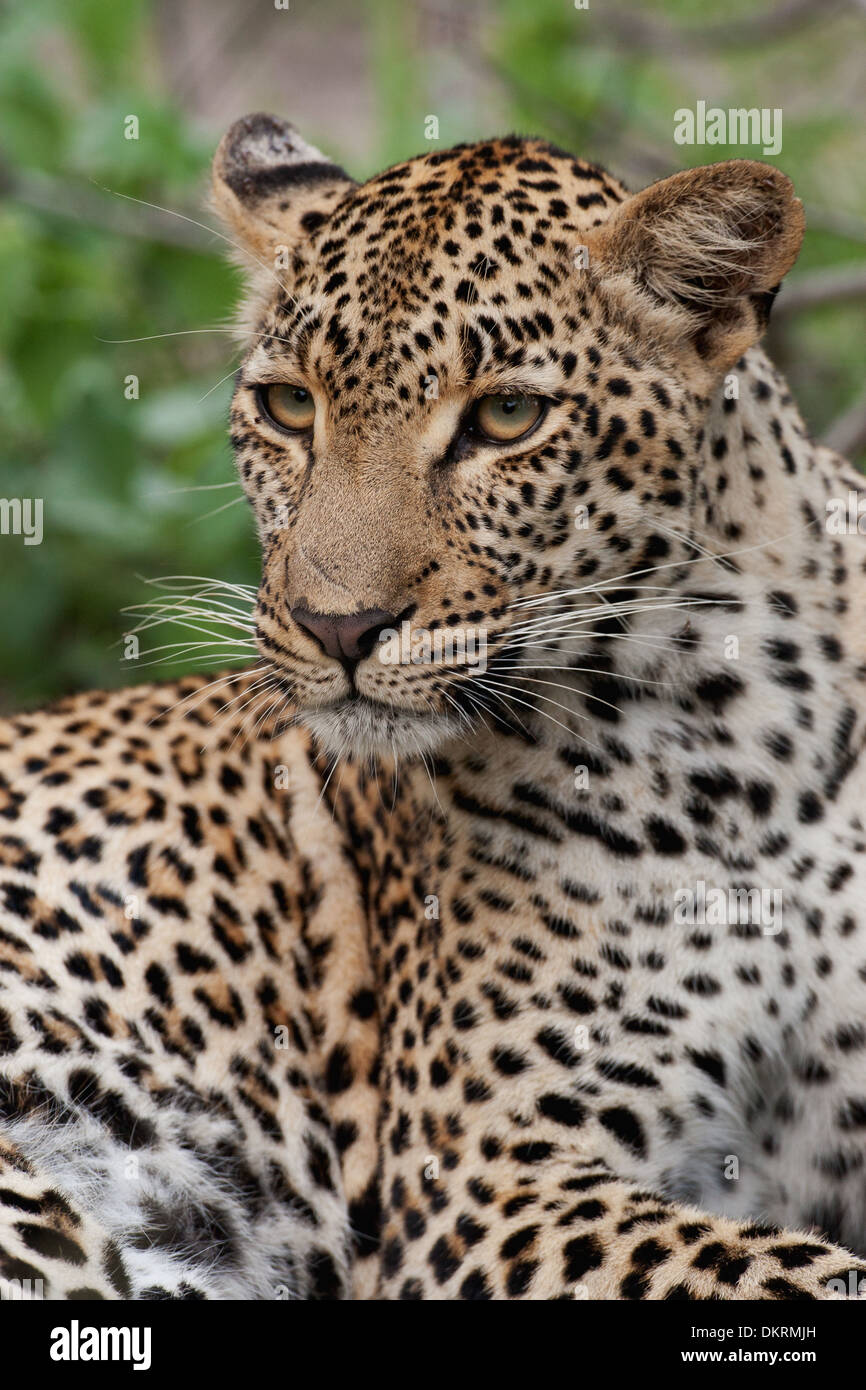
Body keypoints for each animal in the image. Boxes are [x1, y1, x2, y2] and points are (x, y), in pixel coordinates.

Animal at [0, 112, 865, 1301]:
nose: (337, 627)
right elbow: (794, 1268)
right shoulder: (480, 1181)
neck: (746, 745)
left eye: (505, 416)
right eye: (290, 406)